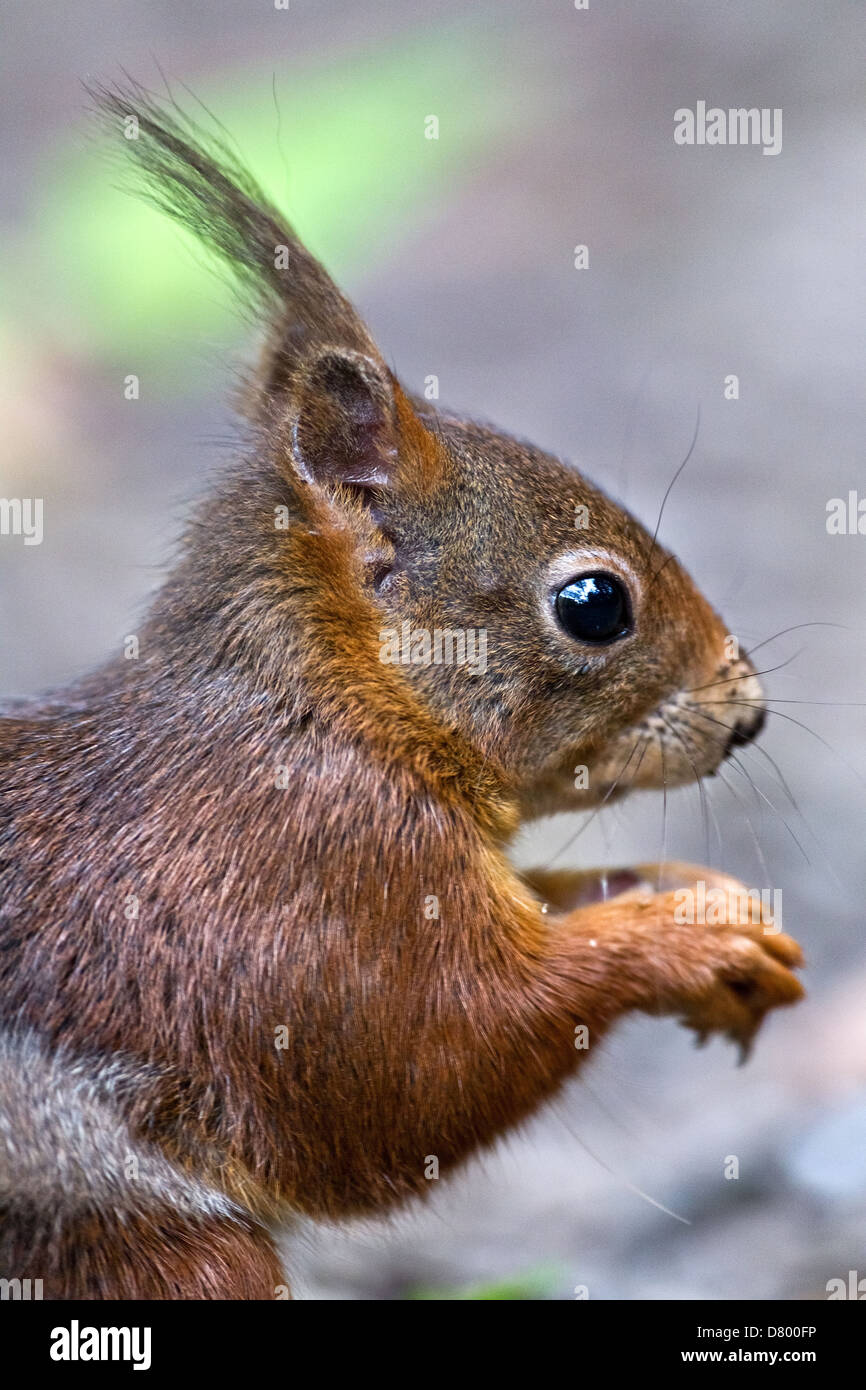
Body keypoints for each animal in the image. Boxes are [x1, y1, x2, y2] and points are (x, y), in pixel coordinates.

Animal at [0, 85, 804, 1300]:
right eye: (592, 604)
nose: (746, 713)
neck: (334, 707)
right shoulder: (310, 887)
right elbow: (424, 1064)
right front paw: (675, 941)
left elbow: (548, 906)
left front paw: (700, 897)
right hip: (143, 1248)